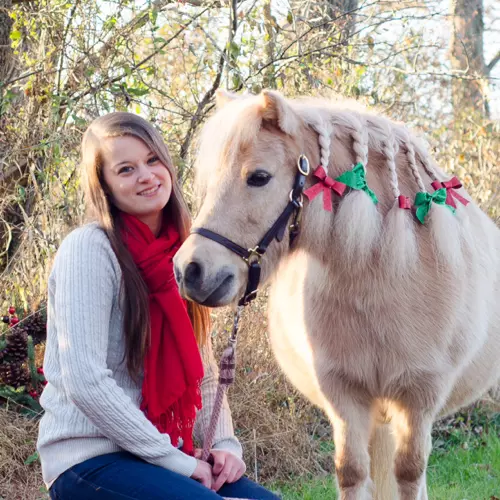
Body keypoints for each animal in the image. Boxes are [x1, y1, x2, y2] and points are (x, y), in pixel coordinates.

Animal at [173, 91, 500, 500]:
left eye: (259, 177)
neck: (386, 274)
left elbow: (410, 474)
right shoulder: (345, 396)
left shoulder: (418, 398)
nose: (189, 270)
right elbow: (352, 471)